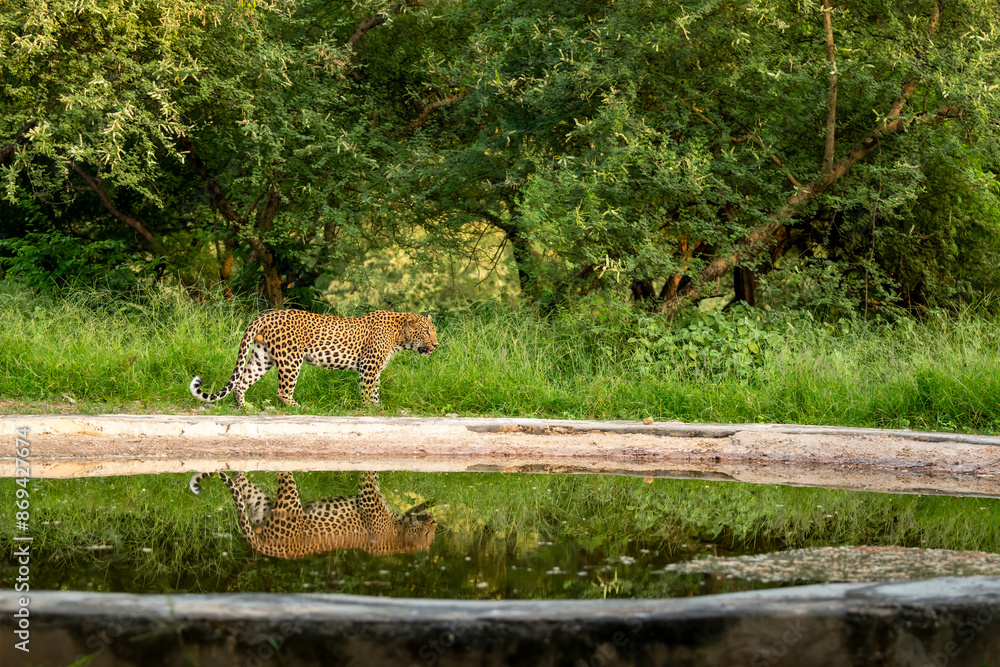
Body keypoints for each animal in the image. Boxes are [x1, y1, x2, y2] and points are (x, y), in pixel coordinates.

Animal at [189, 309, 438, 407]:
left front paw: (377, 407)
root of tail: (266, 314)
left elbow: (375, 390)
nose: (436, 344)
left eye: (433, 331)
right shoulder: (368, 367)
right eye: (426, 331)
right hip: (290, 359)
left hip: (262, 356)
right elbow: (368, 391)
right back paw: (299, 406)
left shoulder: (374, 369)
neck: (399, 337)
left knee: (241, 381)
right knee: (282, 391)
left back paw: (245, 407)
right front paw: (369, 408)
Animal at [189, 470, 437, 558]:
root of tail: (269, 549)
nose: (434, 521)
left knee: (243, 484)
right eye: (427, 536)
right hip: (290, 499)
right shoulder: (367, 497)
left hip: (263, 505)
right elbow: (369, 477)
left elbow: (374, 476)